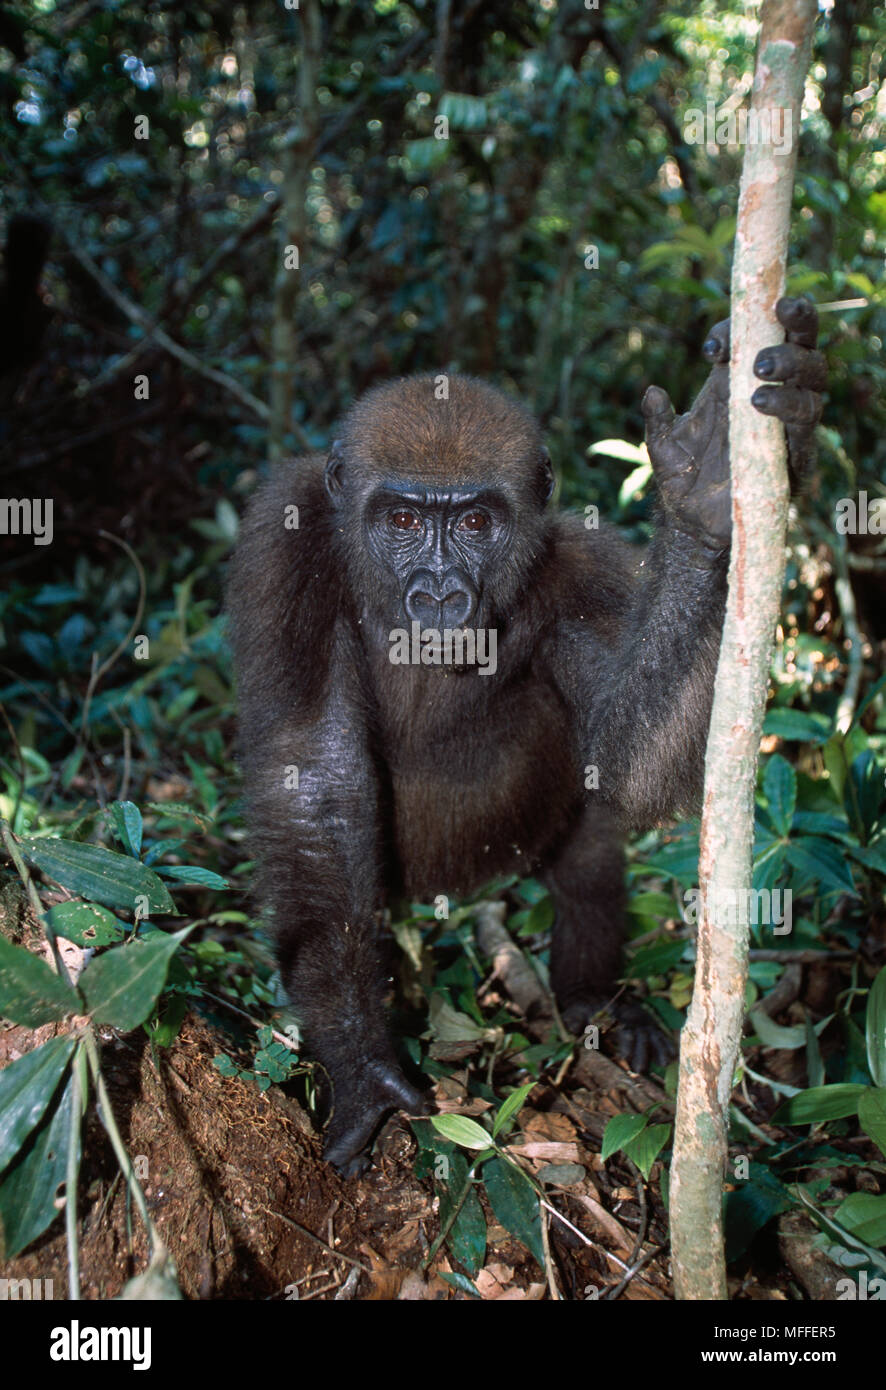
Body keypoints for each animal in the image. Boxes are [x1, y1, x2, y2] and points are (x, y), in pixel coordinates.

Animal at [227, 297, 826, 1175]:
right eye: (402, 519)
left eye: (477, 521)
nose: (440, 593)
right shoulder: (285, 540)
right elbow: (317, 778)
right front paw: (359, 1059)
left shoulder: (584, 570)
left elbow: (629, 761)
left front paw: (706, 497)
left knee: (587, 853)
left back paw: (593, 1002)